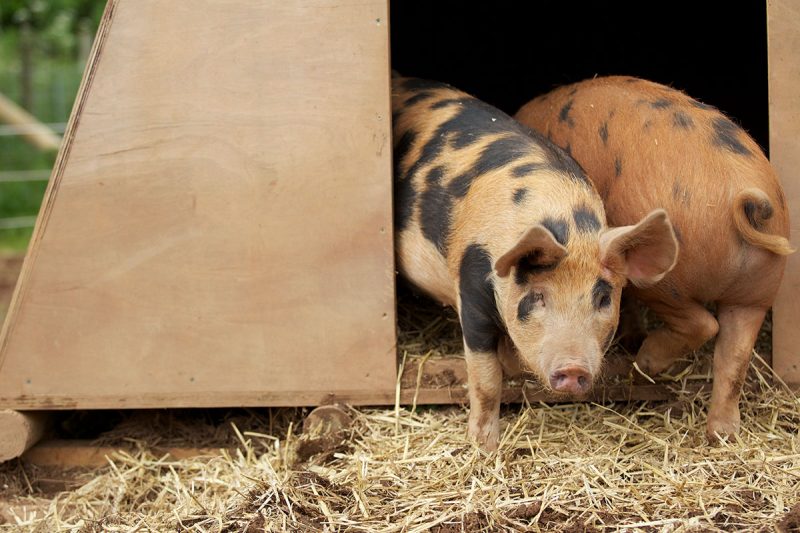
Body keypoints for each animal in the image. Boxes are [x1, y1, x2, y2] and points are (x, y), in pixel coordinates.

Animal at [392, 76, 679, 450]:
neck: (567, 225)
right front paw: (484, 447)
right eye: (538, 296)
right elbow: (486, 378)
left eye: (603, 298)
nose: (573, 369)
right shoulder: (471, 287)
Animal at [515, 76, 794, 441]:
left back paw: (643, 364)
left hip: (664, 276)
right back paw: (721, 434)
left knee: (703, 324)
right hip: (758, 288)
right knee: (733, 355)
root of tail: (738, 196)